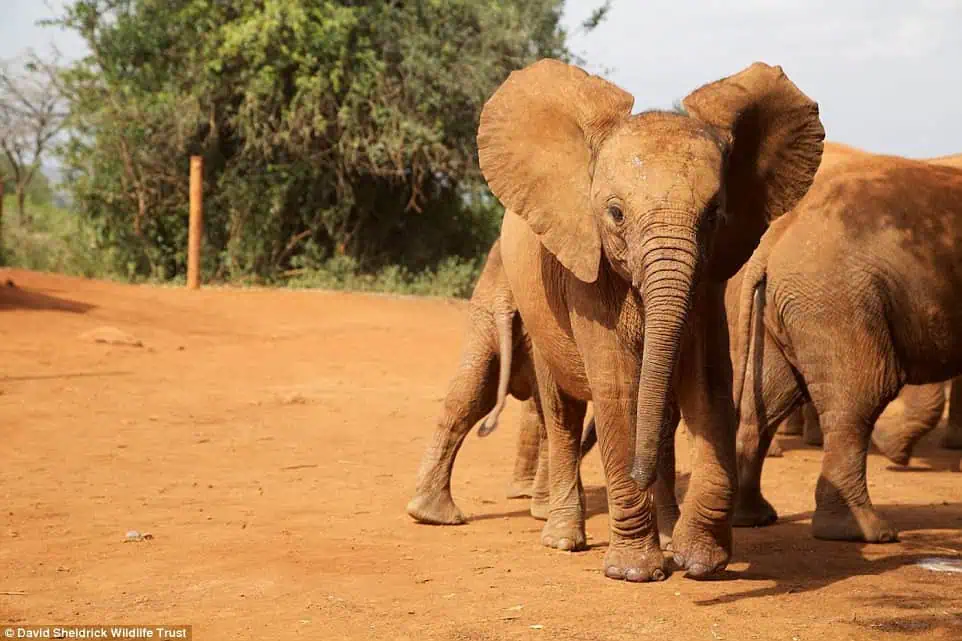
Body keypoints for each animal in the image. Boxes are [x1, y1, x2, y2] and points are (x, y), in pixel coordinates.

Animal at [476, 58, 824, 582]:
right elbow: (620, 389)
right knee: (561, 411)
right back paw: (564, 539)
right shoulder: (586, 270)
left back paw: (665, 531)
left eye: (714, 215)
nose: (638, 475)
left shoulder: (706, 282)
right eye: (616, 213)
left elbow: (709, 384)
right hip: (537, 310)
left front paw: (699, 561)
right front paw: (635, 572)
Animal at [727, 144, 962, 542]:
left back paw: (752, 518)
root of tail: (778, 234)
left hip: (782, 306)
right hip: (835, 297)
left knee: (768, 399)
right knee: (861, 396)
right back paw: (867, 533)